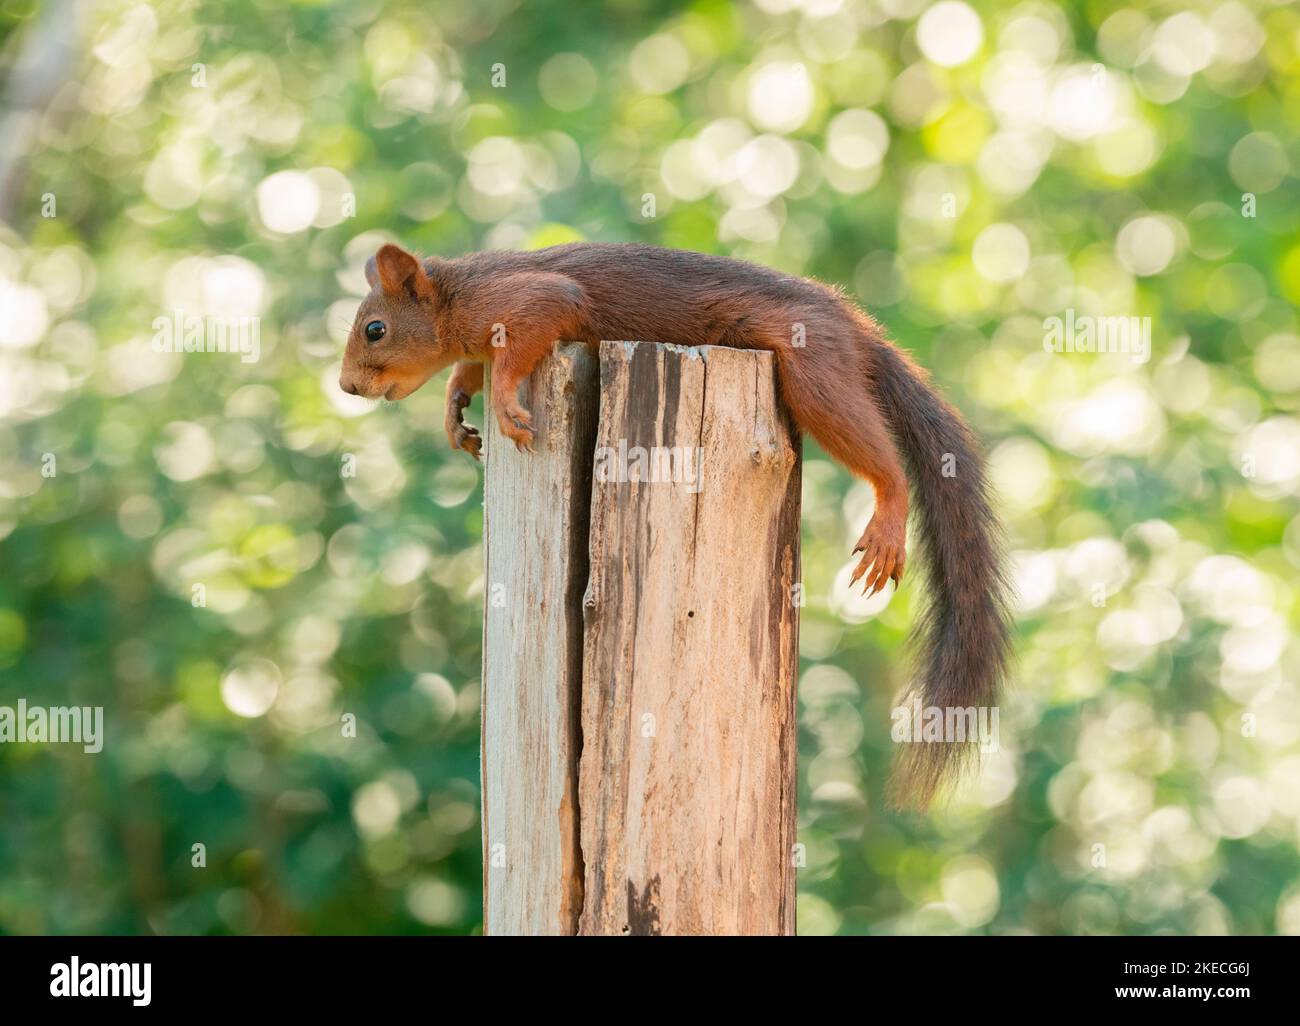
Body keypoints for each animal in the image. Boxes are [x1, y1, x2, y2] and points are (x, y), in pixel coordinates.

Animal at [340, 241, 1011, 809]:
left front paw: (504, 398)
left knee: (875, 452)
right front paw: (458, 406)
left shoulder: (527, 300)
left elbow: (534, 328)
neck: (458, 292)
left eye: (375, 329)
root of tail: (855, 325)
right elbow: (467, 371)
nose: (346, 387)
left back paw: (888, 511)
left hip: (810, 361)